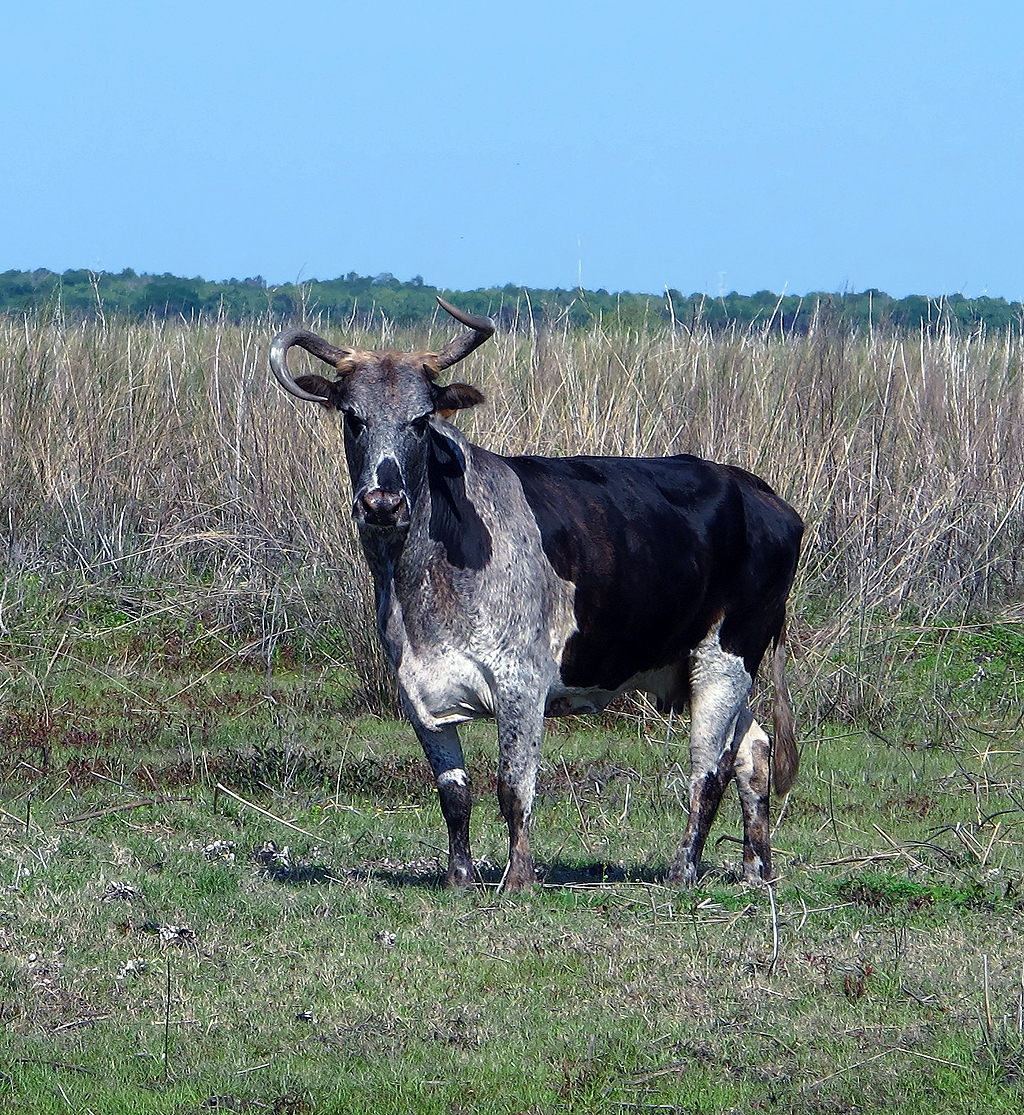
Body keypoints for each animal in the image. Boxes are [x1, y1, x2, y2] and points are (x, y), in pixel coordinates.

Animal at [269, 297, 803, 891]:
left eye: (421, 420)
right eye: (352, 417)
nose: (382, 503)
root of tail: (763, 494)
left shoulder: (520, 686)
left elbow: (513, 788)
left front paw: (517, 880)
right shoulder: (418, 695)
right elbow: (454, 794)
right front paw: (460, 878)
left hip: (726, 658)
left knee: (707, 772)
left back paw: (682, 872)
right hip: (703, 664)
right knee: (753, 752)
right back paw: (756, 871)